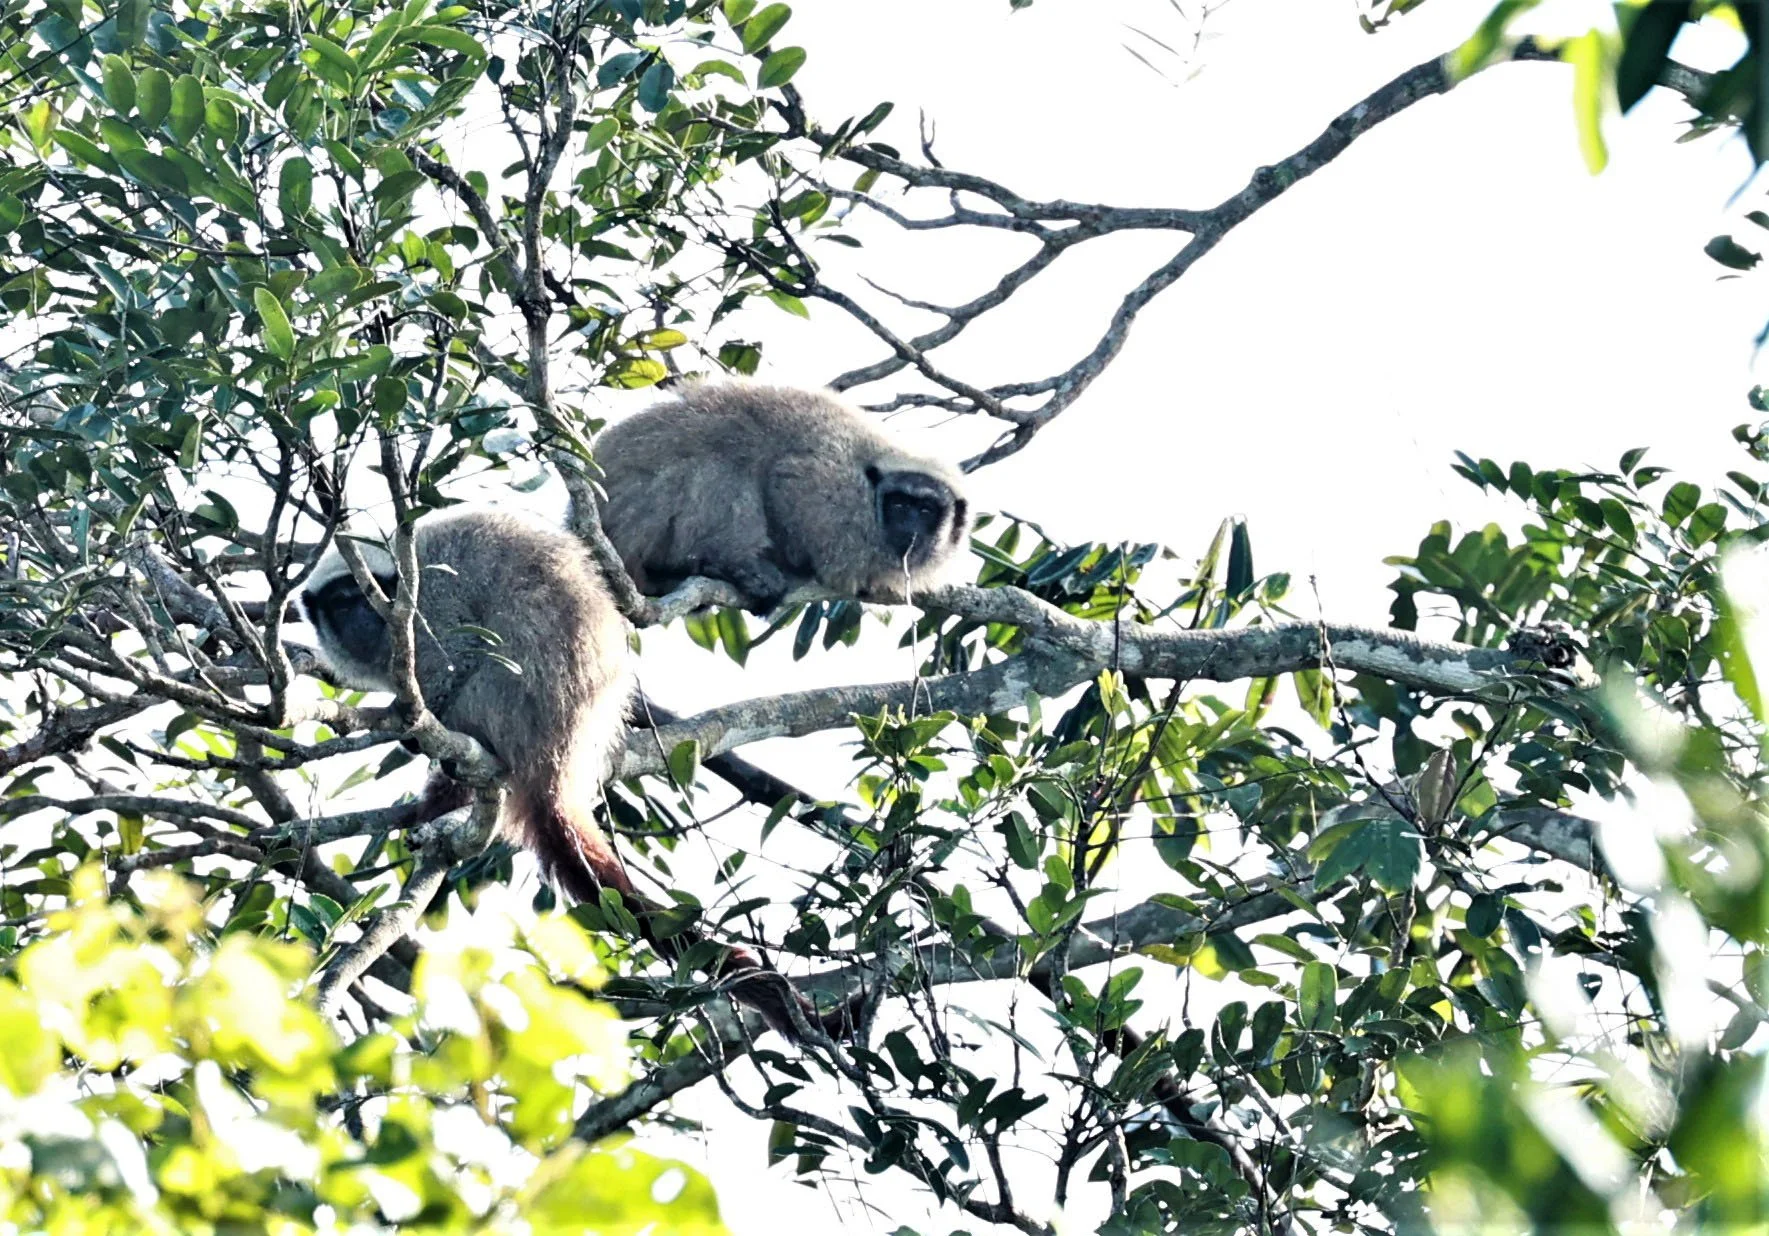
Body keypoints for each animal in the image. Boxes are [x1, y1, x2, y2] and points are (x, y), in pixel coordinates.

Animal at [299, 508, 843, 1041]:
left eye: (360, 597)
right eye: (339, 607)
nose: (358, 619)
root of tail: (555, 752)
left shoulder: (426, 600)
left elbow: (453, 660)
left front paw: (412, 722)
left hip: (500, 706)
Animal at [592, 381, 972, 610]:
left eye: (926, 511)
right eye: (899, 504)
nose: (909, 525)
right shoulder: (834, 494)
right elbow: (784, 481)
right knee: (724, 459)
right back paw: (730, 563)